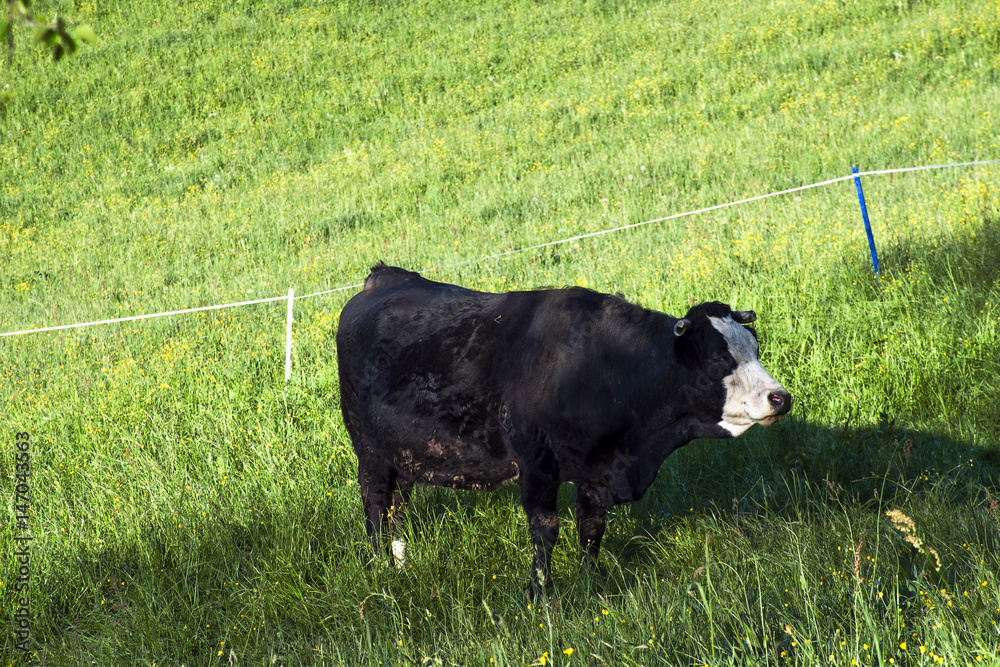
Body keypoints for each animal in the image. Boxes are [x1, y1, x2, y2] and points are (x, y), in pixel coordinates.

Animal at [336, 262, 792, 596]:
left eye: (755, 348)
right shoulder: (536, 464)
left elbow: (591, 529)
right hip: (367, 449)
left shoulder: (596, 471)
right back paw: (379, 567)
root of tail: (386, 276)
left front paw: (591, 583)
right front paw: (540, 592)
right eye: (718, 360)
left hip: (402, 455)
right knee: (375, 506)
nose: (780, 397)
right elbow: (545, 530)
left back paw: (401, 563)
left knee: (397, 509)